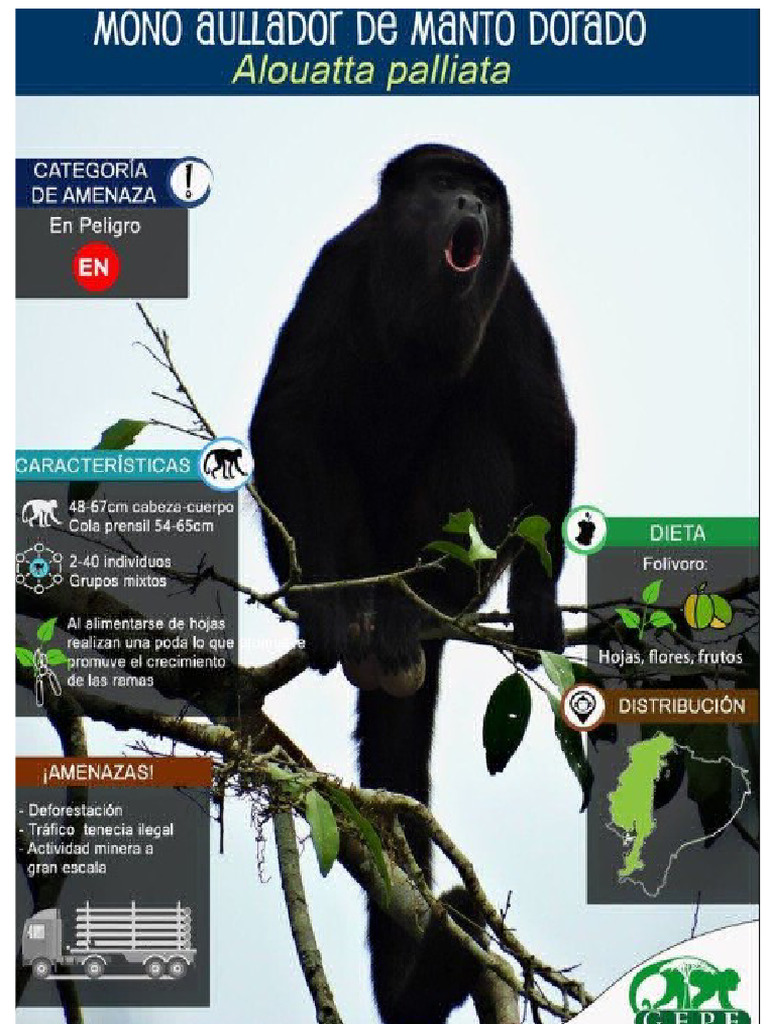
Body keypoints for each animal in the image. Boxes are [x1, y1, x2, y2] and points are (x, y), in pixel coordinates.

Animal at [250, 144, 575, 1024]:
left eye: (483, 193)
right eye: (440, 185)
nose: (470, 202)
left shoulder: (514, 299)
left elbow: (546, 430)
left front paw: (537, 601)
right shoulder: (338, 266)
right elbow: (287, 417)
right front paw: (319, 606)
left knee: (482, 432)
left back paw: (409, 614)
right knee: (319, 444)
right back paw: (349, 612)